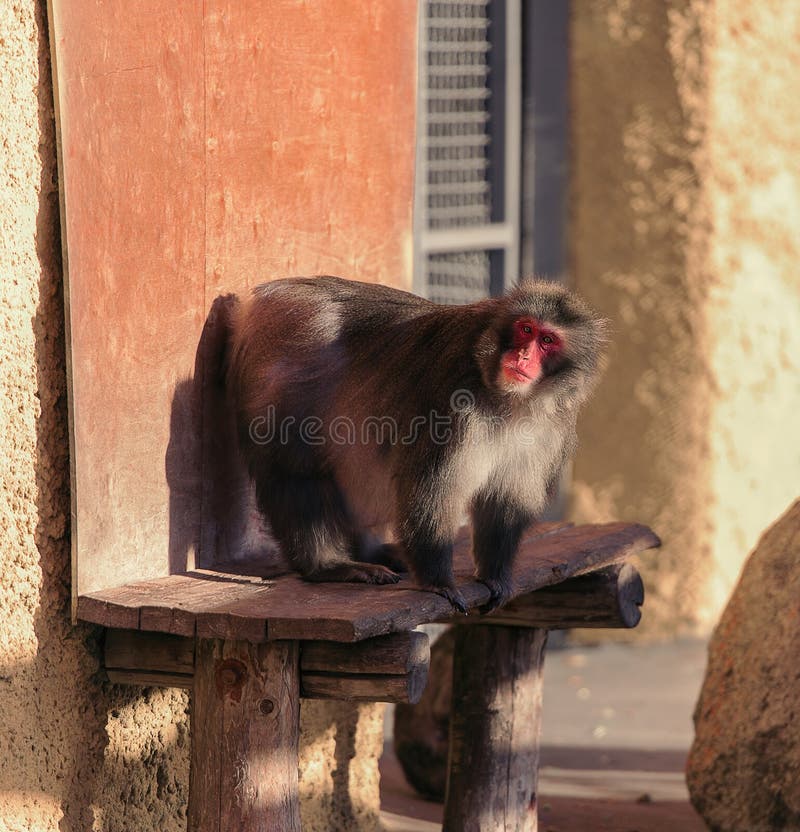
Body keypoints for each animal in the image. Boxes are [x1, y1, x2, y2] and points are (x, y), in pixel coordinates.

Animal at [224, 276, 606, 613]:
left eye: (548, 341)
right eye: (526, 330)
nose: (523, 356)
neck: (508, 398)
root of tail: (279, 292)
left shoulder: (550, 429)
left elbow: (505, 500)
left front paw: (494, 575)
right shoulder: (452, 402)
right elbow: (432, 490)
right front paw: (438, 582)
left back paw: (369, 552)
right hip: (285, 376)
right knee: (299, 471)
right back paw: (326, 565)